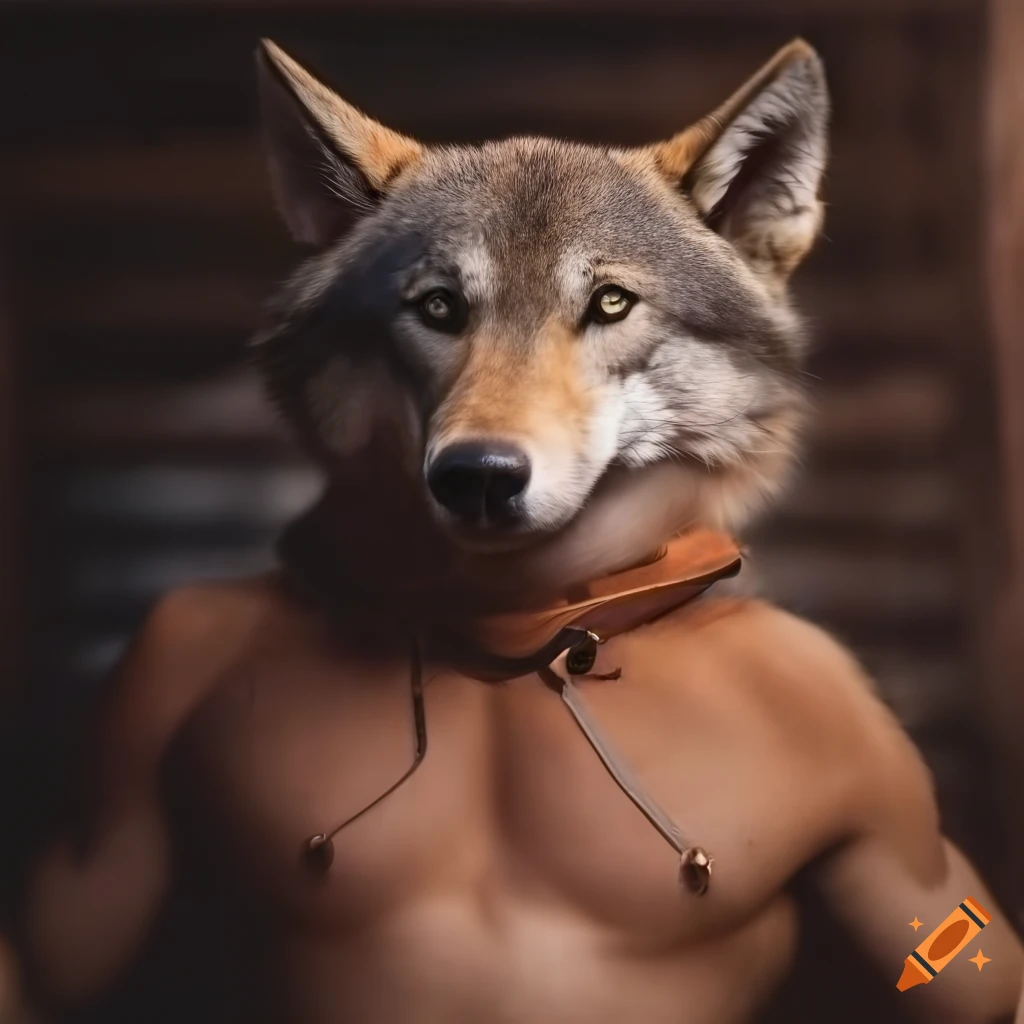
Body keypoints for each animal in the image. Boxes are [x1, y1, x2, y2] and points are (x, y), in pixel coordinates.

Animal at [22, 38, 1023, 1024]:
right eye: (438, 307)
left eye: (610, 304)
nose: (479, 476)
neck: (507, 634)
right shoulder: (163, 663)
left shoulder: (860, 741)